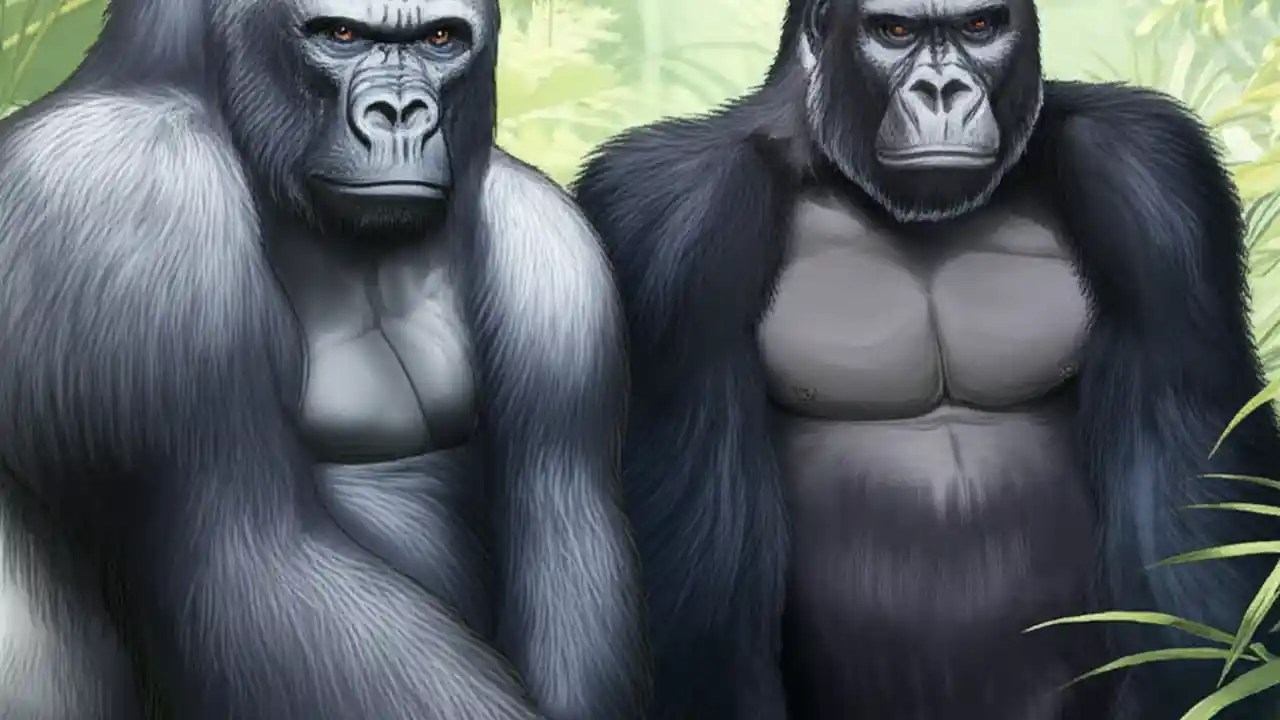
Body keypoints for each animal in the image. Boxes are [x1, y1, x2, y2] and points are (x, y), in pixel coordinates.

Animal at [0, 0, 646, 718]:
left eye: (440, 39)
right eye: (340, 35)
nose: (401, 112)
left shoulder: (552, 248)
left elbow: (559, 522)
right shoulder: (128, 198)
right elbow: (250, 563)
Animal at [572, 0, 1280, 718]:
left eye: (980, 27)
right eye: (895, 31)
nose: (944, 90)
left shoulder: (1153, 178)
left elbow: (1189, 520)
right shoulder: (675, 219)